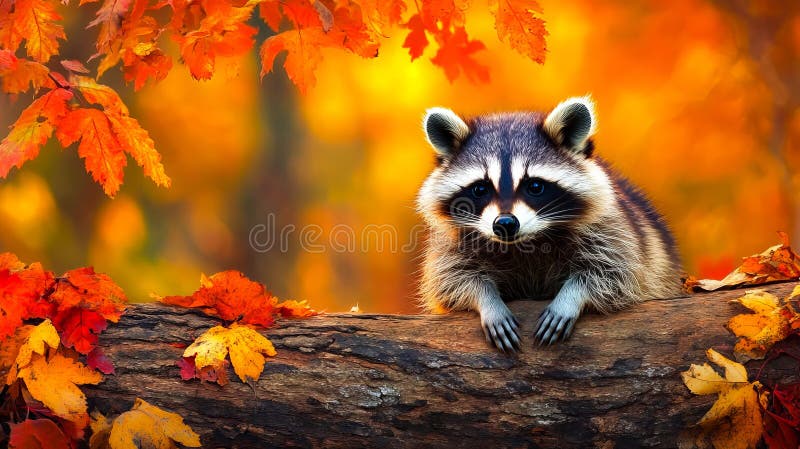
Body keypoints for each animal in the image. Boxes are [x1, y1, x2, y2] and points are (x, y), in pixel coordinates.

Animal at [416, 96, 682, 351]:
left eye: (535, 186)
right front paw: (488, 301)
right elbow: (450, 280)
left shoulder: (610, 228)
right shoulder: (451, 240)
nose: (505, 223)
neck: (525, 242)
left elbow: (615, 273)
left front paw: (571, 296)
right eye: (480, 189)